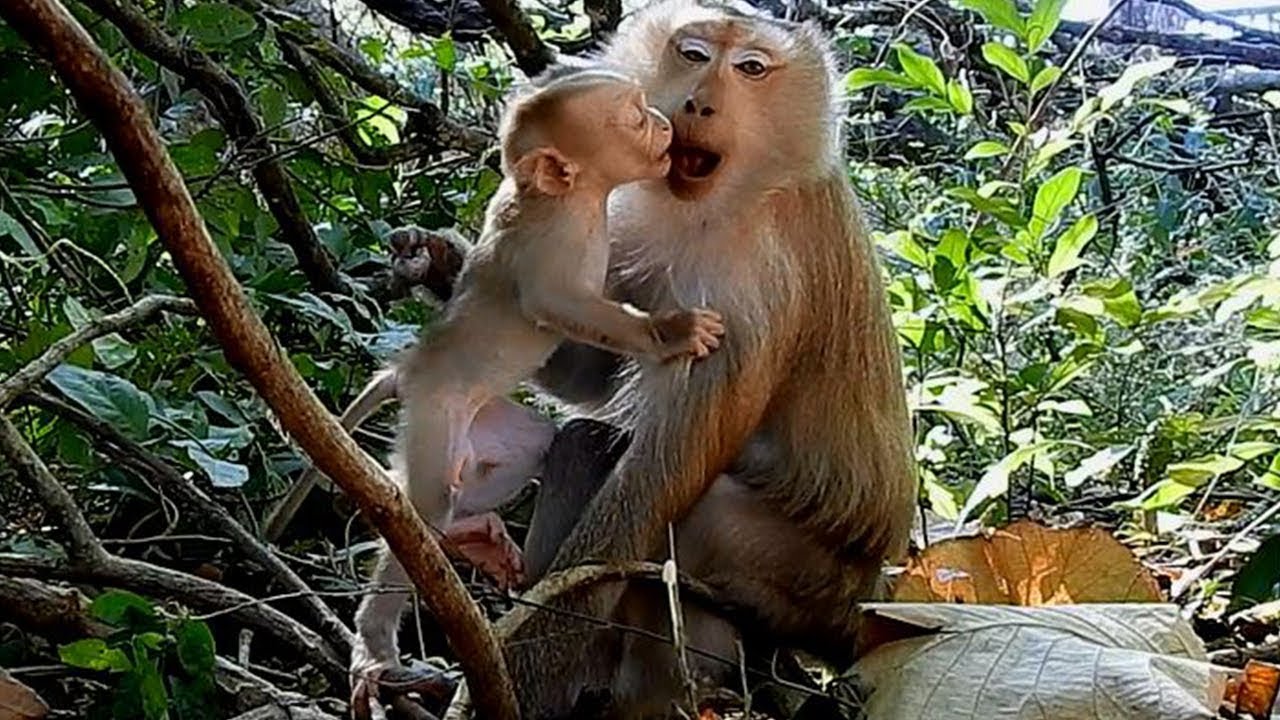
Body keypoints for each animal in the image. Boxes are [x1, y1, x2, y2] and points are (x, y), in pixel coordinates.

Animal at [348, 68, 728, 704]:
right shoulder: (553, 246)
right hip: (434, 413)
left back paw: (467, 536)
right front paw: (671, 333)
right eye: (634, 116)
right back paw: (378, 643)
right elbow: (562, 306)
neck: (575, 199)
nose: (665, 123)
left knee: (518, 453)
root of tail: (407, 369)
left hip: (480, 419)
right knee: (425, 504)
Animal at [478, 1, 919, 717]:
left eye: (751, 68)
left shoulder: (756, 281)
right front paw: (435, 262)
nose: (699, 104)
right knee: (586, 443)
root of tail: (871, 597)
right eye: (692, 54)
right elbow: (595, 373)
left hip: (811, 584)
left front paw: (523, 666)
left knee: (702, 520)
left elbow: (669, 467)